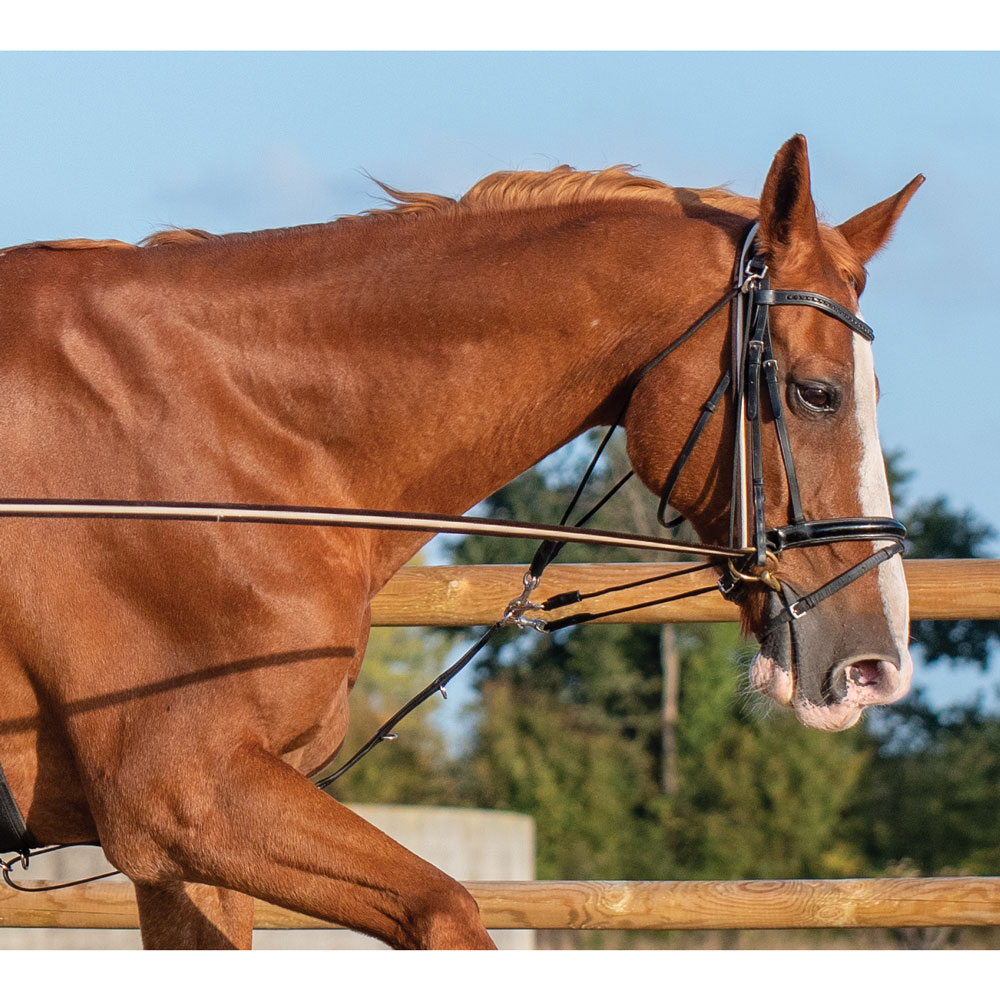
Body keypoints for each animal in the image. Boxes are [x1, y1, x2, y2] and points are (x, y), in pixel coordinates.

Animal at [0, 134, 921, 948]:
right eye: (816, 392)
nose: (873, 666)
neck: (218, 428)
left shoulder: (193, 854)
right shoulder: (183, 794)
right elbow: (447, 912)